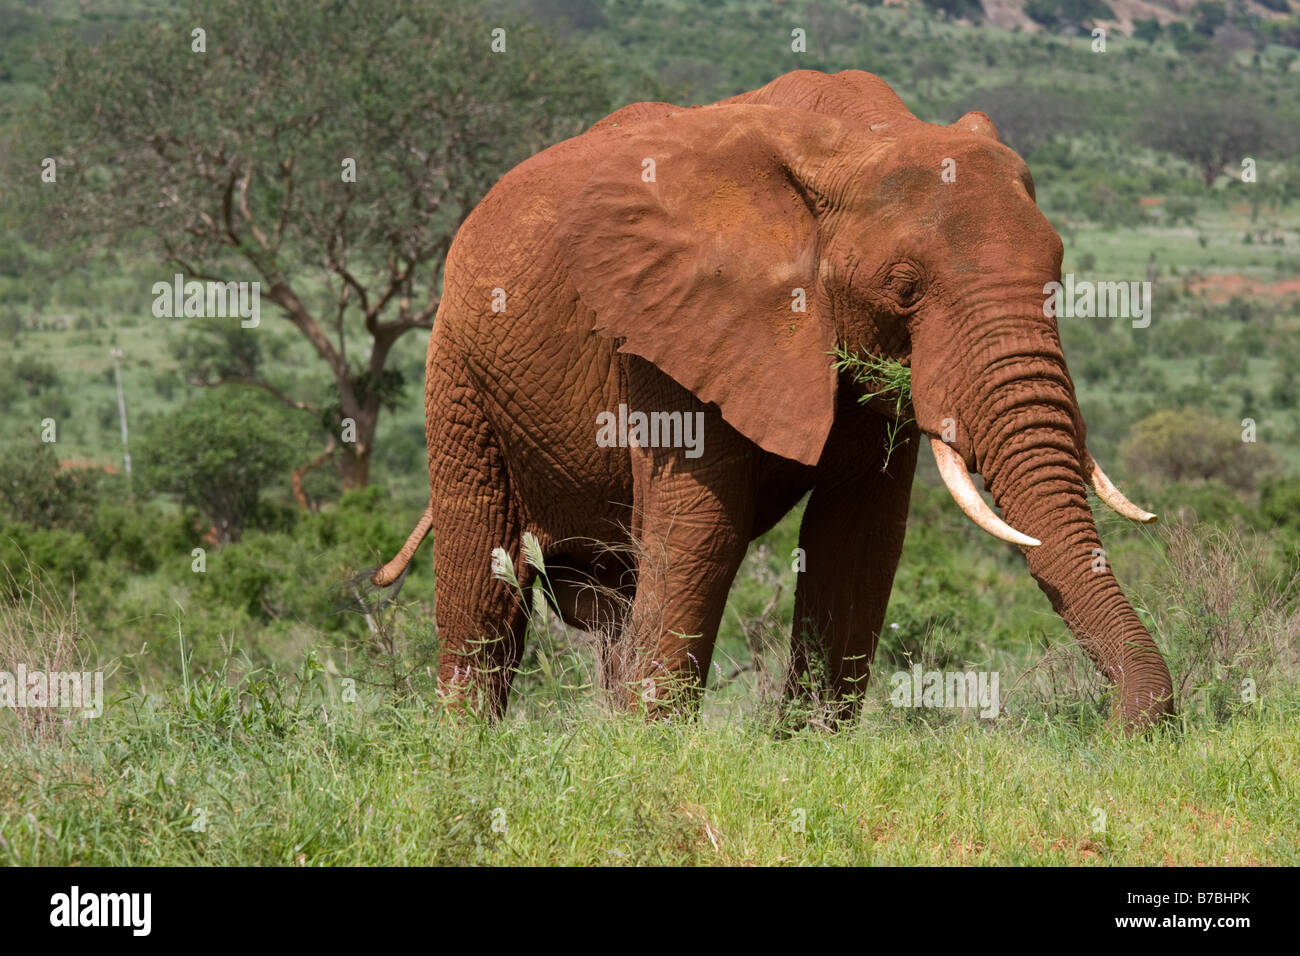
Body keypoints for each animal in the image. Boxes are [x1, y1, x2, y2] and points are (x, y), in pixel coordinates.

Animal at [373, 69, 1175, 729]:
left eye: (1059, 274)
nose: (1123, 729)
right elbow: (702, 525)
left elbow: (859, 534)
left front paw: (809, 745)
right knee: (485, 567)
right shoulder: (676, 321)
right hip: (459, 360)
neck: (861, 140)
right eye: (904, 288)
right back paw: (470, 748)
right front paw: (650, 752)